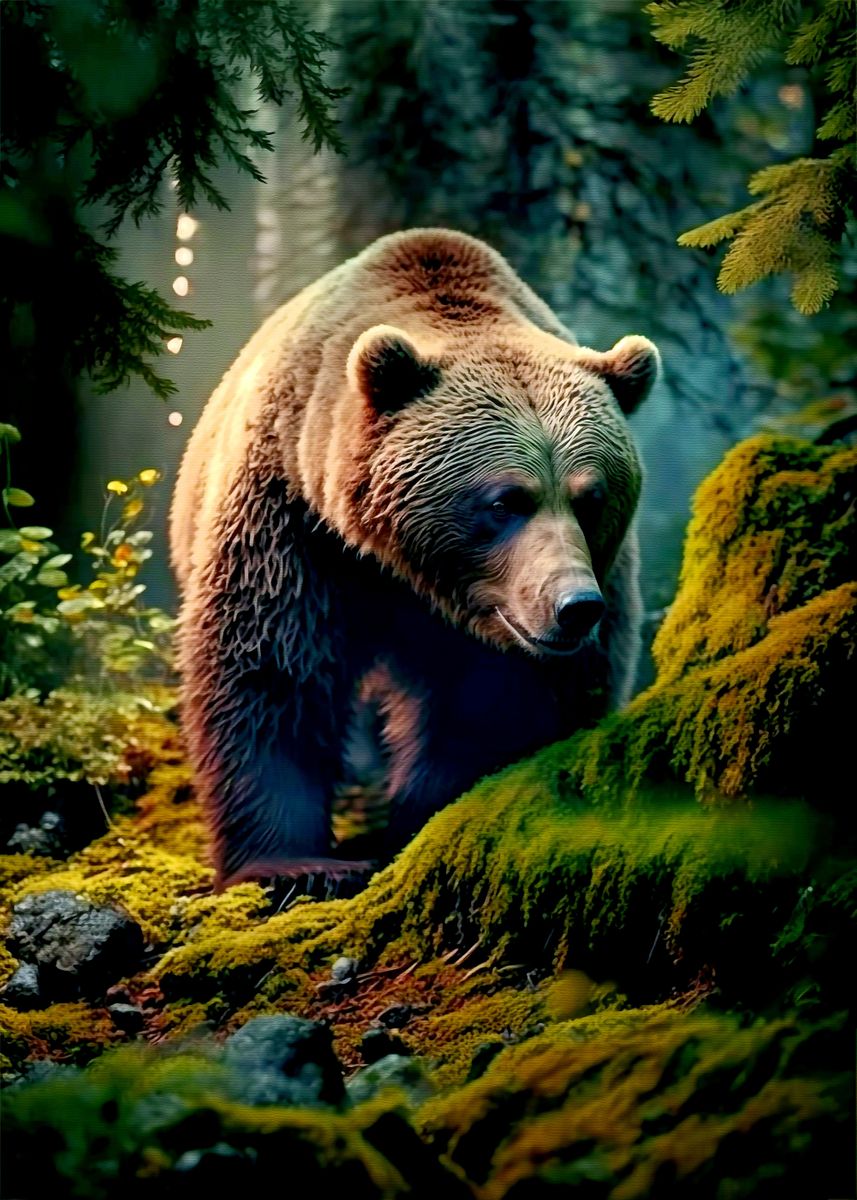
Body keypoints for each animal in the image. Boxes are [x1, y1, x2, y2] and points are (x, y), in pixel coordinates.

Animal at [170, 228, 660, 890]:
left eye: (592, 497)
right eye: (506, 500)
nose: (574, 606)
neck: (410, 569)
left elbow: (492, 709)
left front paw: (425, 815)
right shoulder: (294, 520)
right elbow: (271, 668)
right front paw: (297, 863)